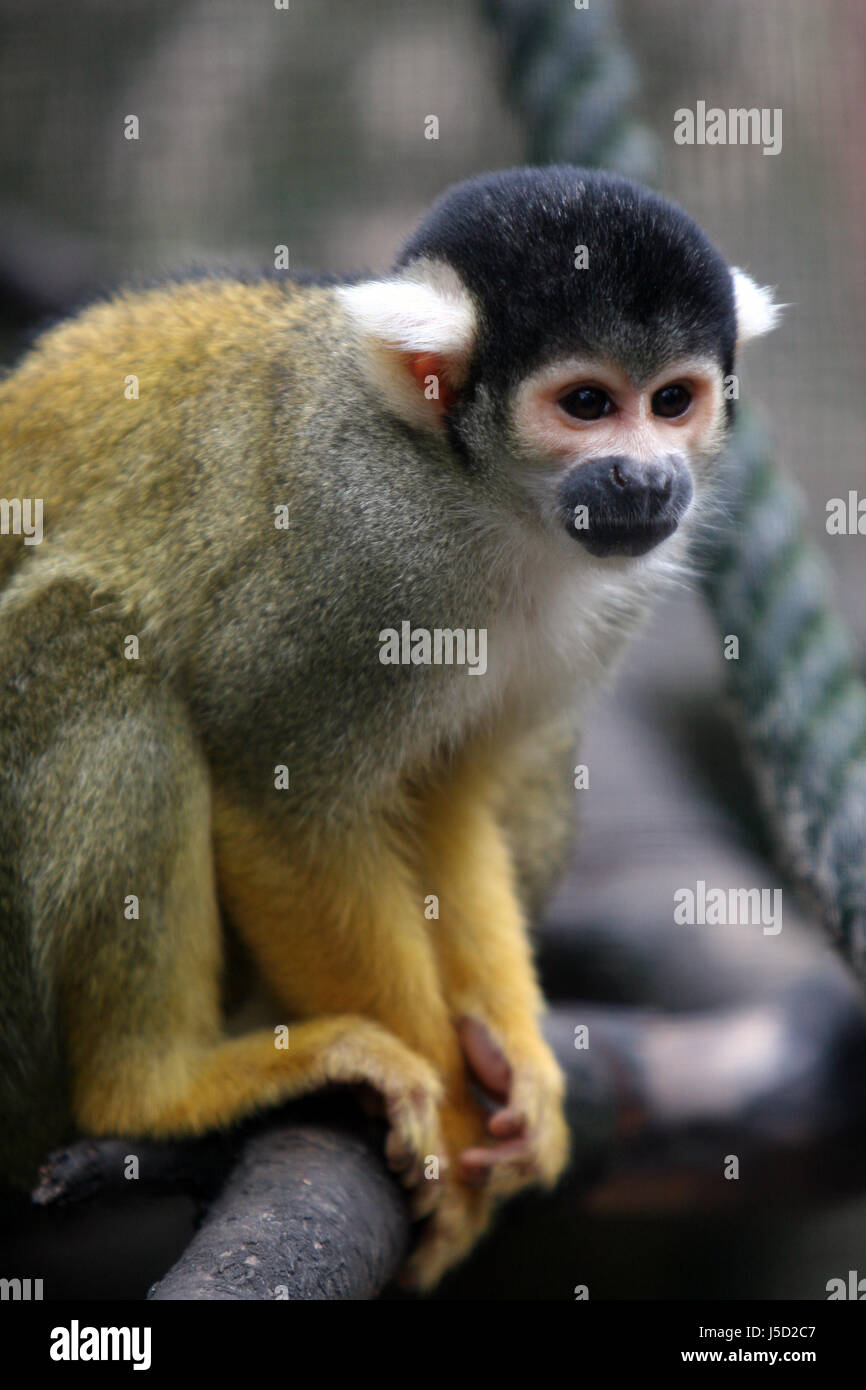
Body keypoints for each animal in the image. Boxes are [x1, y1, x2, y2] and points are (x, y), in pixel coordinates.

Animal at [0, 166, 779, 1290]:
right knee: (84, 635)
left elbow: (451, 802)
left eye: (672, 400)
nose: (645, 476)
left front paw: (513, 1068)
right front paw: (451, 1128)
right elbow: (277, 791)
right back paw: (154, 1087)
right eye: (587, 403)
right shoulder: (360, 551)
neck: (481, 498)